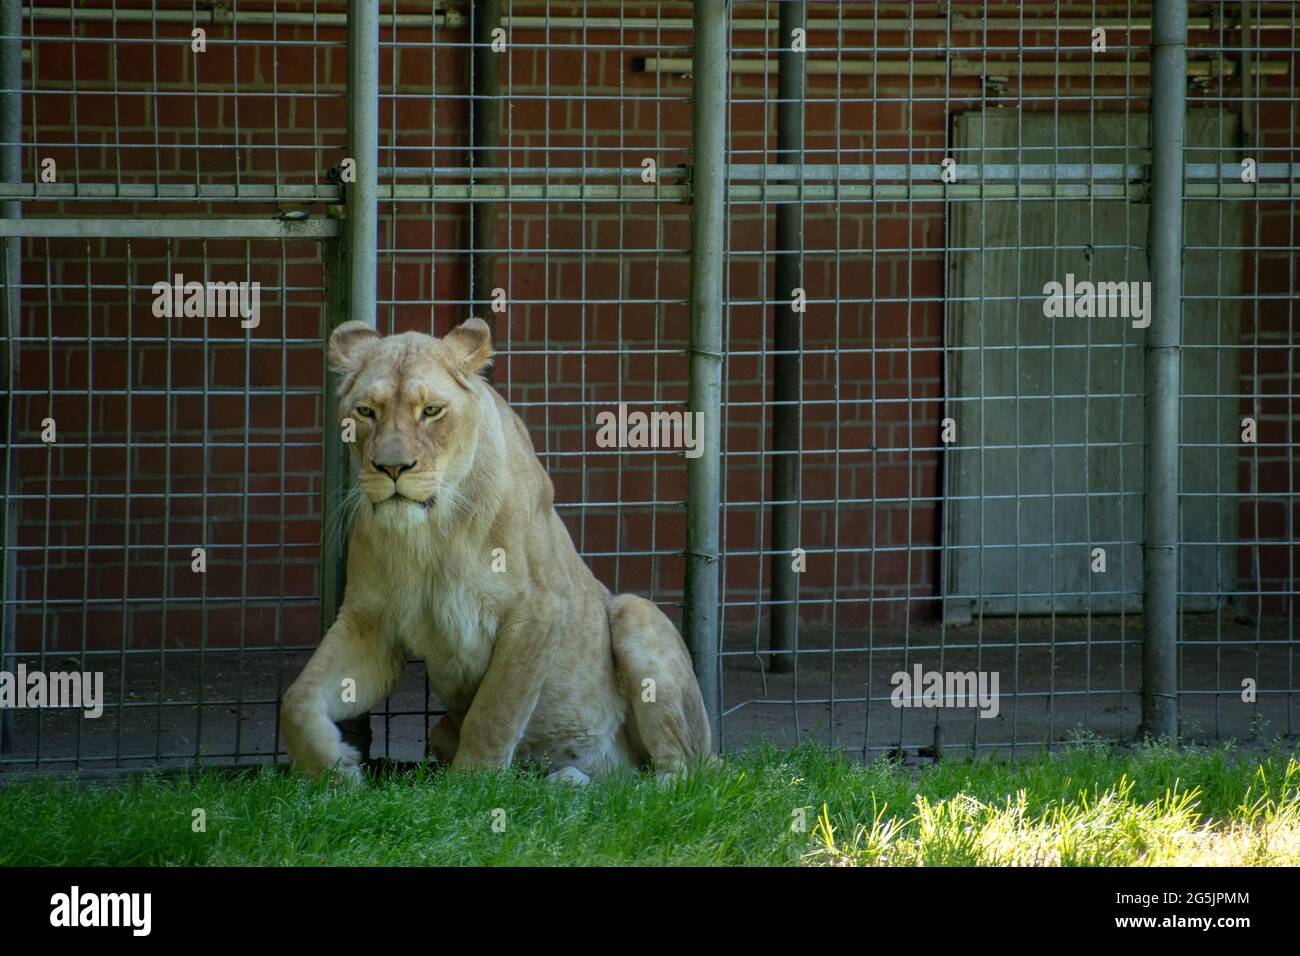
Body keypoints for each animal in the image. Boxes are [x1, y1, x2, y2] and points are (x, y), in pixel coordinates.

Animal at [281, 317, 713, 784]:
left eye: (431, 411)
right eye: (365, 412)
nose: (392, 468)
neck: (431, 534)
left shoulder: (540, 608)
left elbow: (495, 709)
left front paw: (471, 785)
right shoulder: (370, 623)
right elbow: (297, 698)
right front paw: (336, 768)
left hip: (637, 614)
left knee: (683, 771)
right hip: (441, 733)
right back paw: (566, 782)